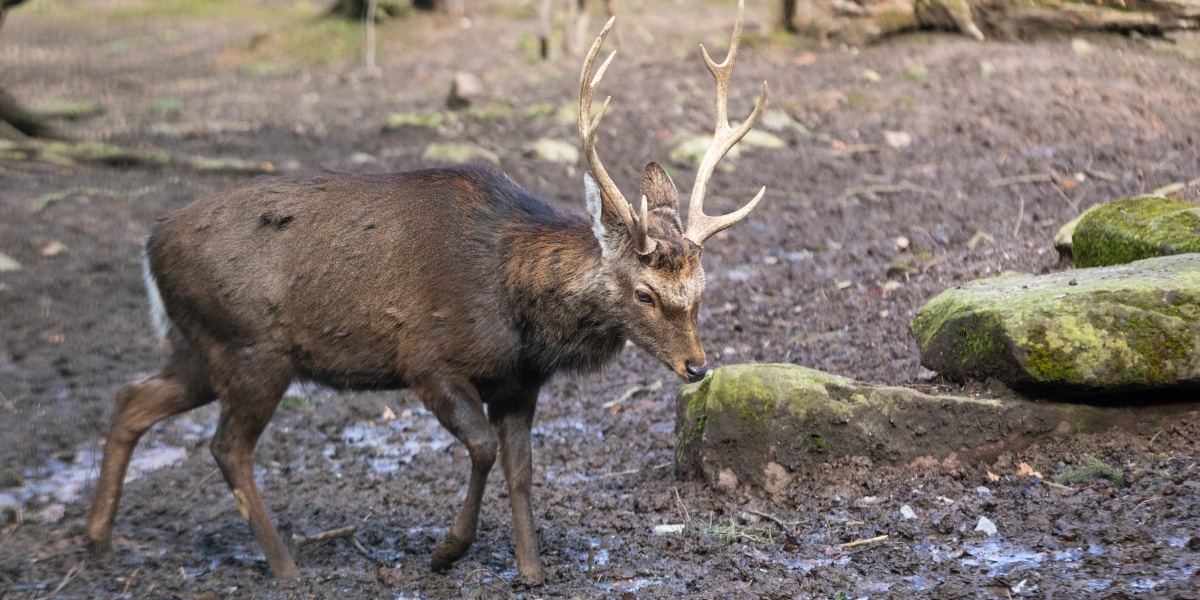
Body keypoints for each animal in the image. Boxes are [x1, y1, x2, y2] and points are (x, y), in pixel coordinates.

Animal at [85, 0, 767, 585]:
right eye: (645, 294)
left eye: (701, 289)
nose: (697, 367)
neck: (516, 312)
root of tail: (149, 244)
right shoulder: (426, 358)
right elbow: (484, 448)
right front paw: (446, 551)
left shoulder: (519, 383)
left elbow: (523, 470)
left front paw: (530, 570)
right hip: (252, 347)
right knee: (226, 447)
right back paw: (285, 567)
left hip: (201, 347)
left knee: (131, 398)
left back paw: (97, 539)